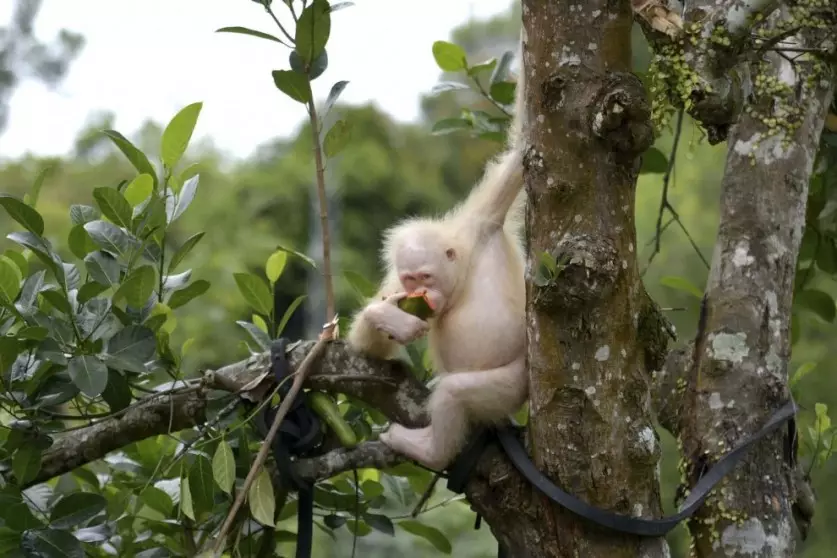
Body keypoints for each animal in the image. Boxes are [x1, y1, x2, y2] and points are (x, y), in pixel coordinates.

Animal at [346, 53, 528, 472]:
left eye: (427, 275)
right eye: (412, 280)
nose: (422, 290)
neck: (461, 275)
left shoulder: (484, 221)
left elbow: (520, 158)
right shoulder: (396, 286)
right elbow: (368, 352)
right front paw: (387, 318)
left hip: (516, 382)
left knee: (456, 391)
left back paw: (432, 450)